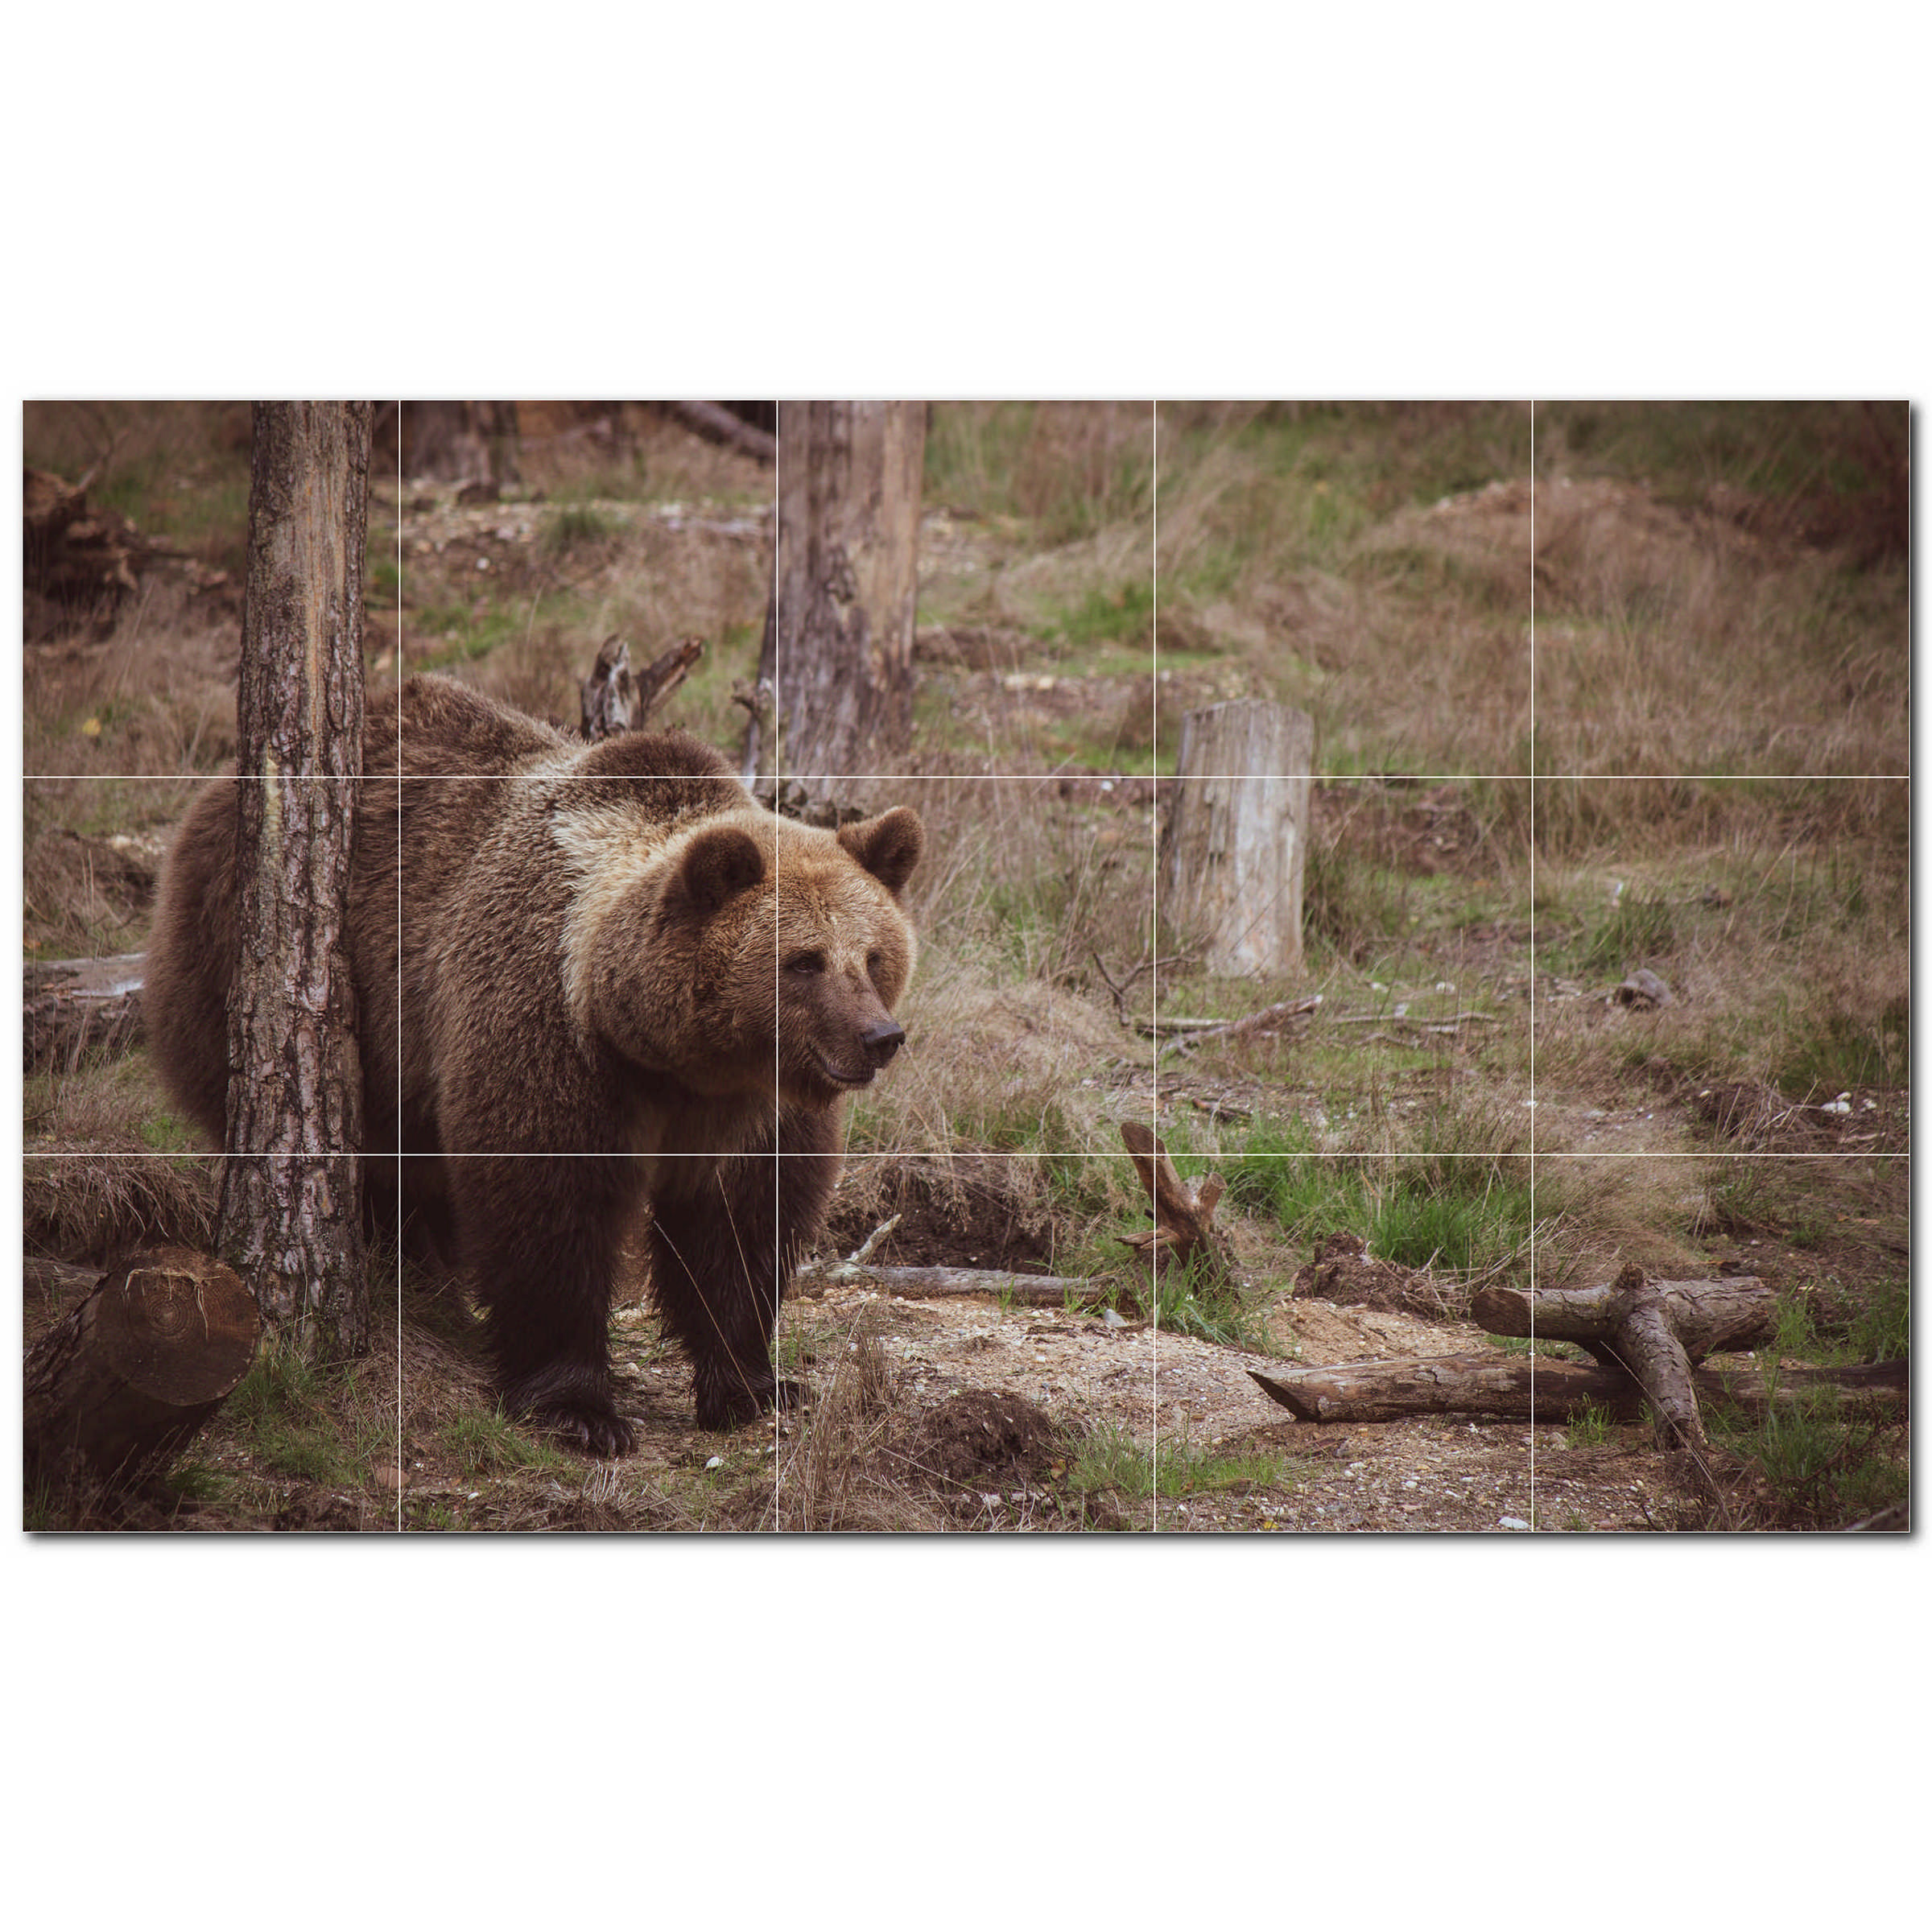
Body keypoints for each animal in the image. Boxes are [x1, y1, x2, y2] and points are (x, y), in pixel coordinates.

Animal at [142, 672, 923, 1454]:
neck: (667, 1053)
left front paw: (756, 1385)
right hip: (258, 964)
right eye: (804, 961)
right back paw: (409, 1271)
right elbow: (547, 1204)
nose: (879, 1037)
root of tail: (214, 796)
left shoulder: (750, 1107)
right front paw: (578, 1407)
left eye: (873, 956)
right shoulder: (548, 1030)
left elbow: (740, 1225)